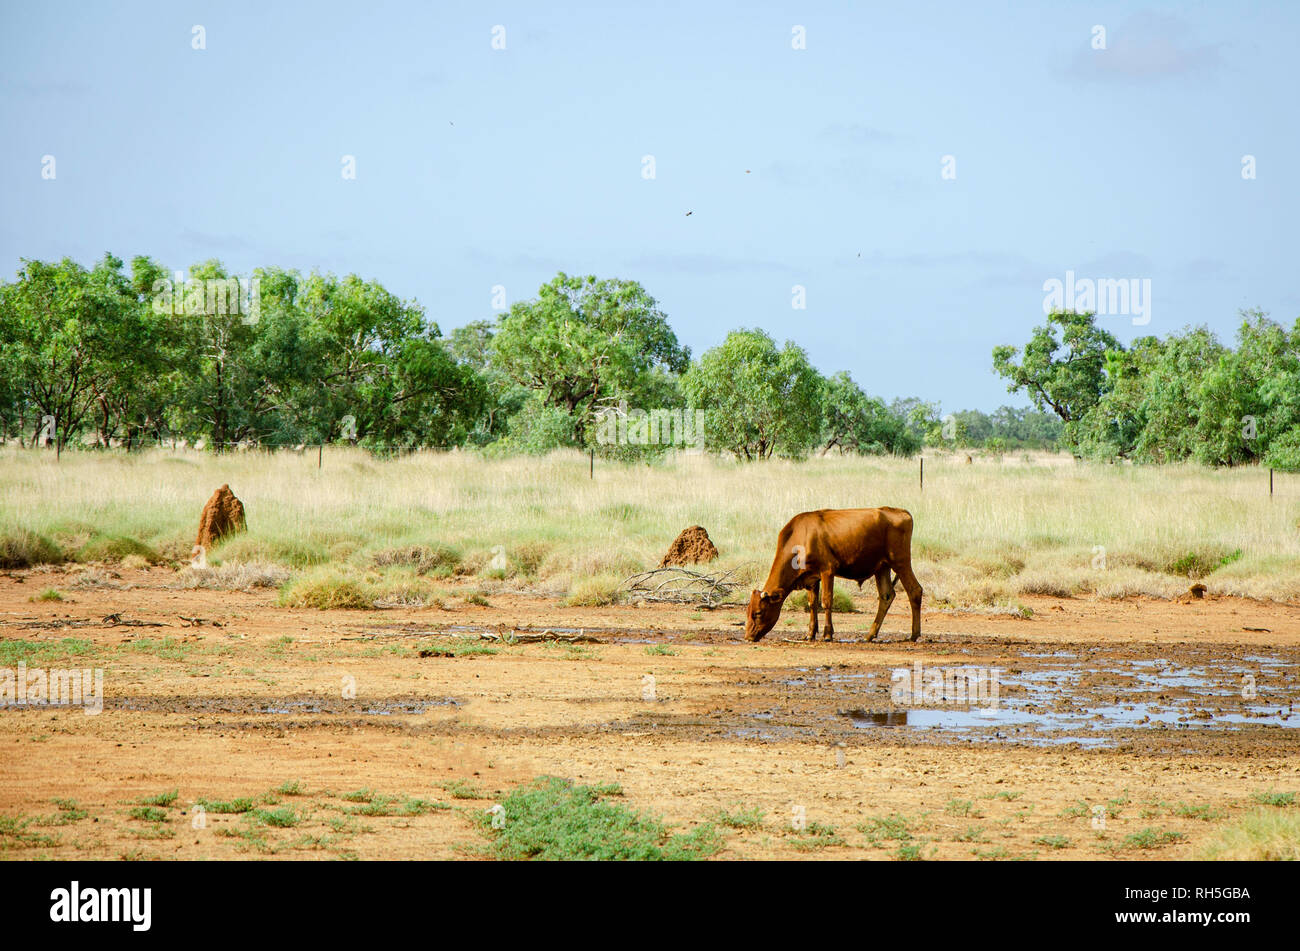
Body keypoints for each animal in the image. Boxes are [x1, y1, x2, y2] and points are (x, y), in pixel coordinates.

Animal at [744, 507, 922, 643]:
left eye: (758, 613)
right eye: (747, 611)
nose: (748, 637)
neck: (801, 537)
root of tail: (900, 511)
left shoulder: (827, 571)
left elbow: (826, 602)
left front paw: (827, 634)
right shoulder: (811, 578)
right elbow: (812, 604)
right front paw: (810, 634)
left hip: (901, 563)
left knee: (915, 591)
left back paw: (914, 635)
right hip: (882, 567)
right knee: (886, 596)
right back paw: (870, 635)